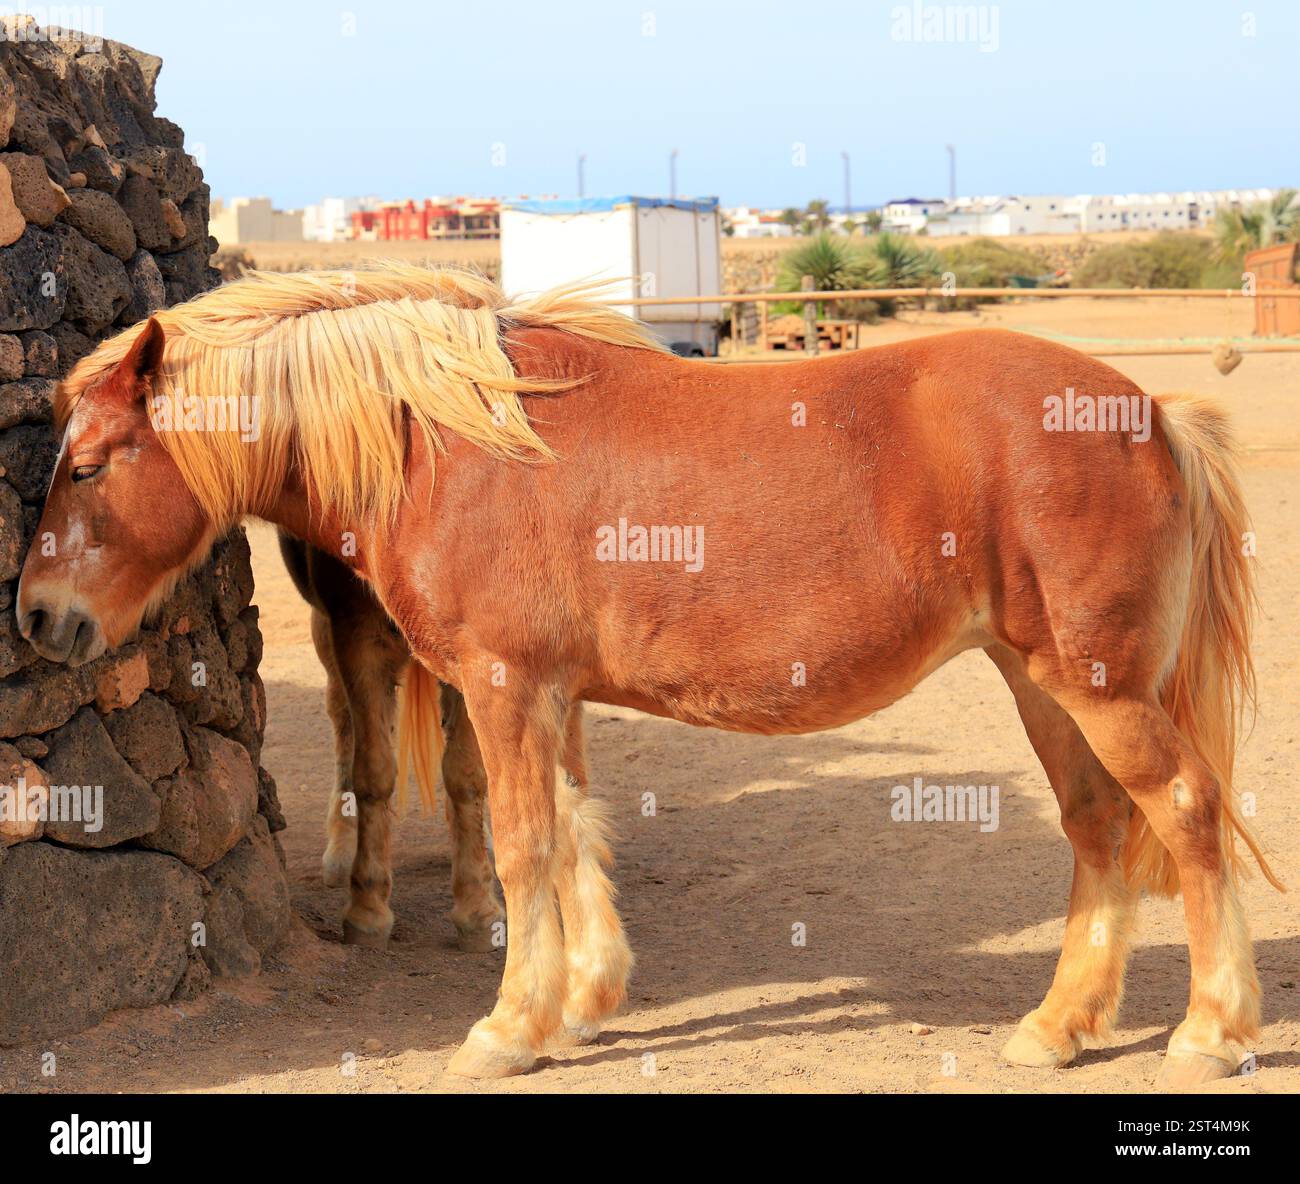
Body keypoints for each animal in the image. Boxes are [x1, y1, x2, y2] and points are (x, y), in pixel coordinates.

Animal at [277, 532, 502, 951]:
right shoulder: (357, 633)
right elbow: (373, 771)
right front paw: (367, 910)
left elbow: (466, 772)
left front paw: (478, 910)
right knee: (343, 722)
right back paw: (341, 850)